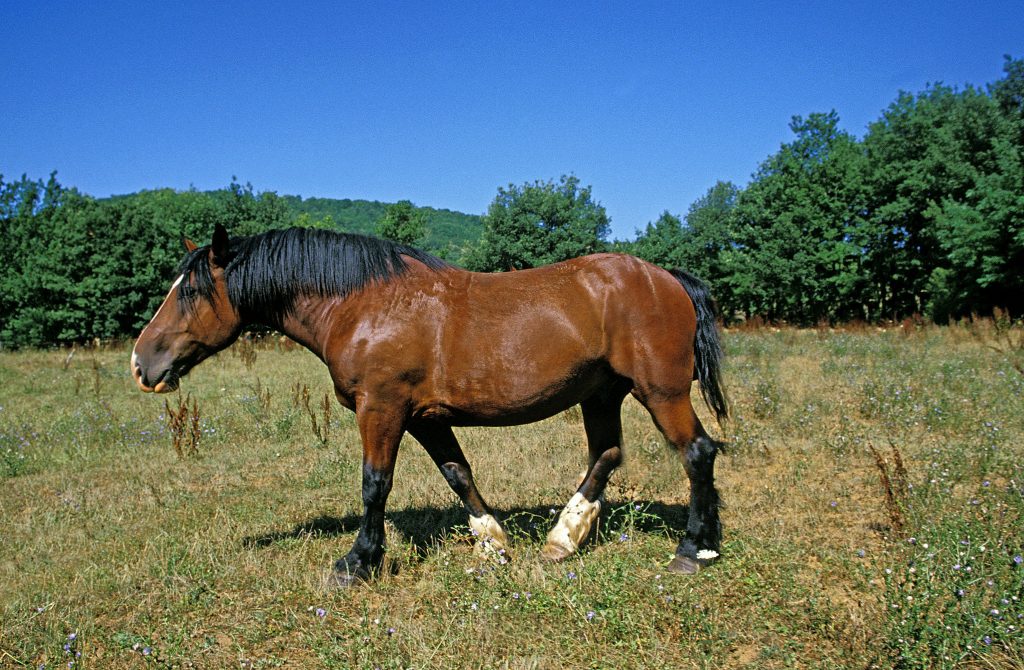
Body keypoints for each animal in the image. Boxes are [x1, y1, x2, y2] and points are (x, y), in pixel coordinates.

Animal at [131, 223, 729, 586]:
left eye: (190, 291)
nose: (142, 363)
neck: (363, 306)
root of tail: (667, 278)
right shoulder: (425, 419)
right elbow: (458, 474)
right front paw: (493, 545)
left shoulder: (382, 409)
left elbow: (375, 484)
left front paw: (358, 562)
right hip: (601, 395)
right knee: (606, 456)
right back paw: (563, 539)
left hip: (661, 392)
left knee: (697, 453)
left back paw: (691, 550)